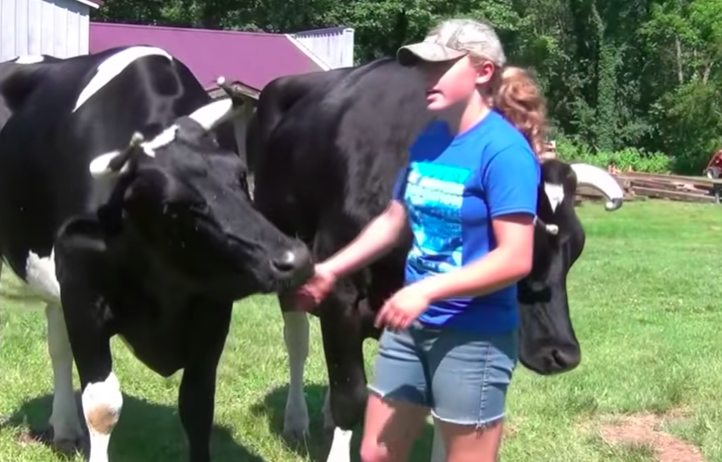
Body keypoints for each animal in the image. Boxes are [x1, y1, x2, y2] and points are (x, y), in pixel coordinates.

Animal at [0, 46, 314, 462]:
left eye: (239, 176)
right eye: (173, 206)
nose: (295, 259)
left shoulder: (212, 309)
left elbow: (197, 403)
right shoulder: (83, 295)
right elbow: (103, 406)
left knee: (57, 344)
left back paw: (64, 428)